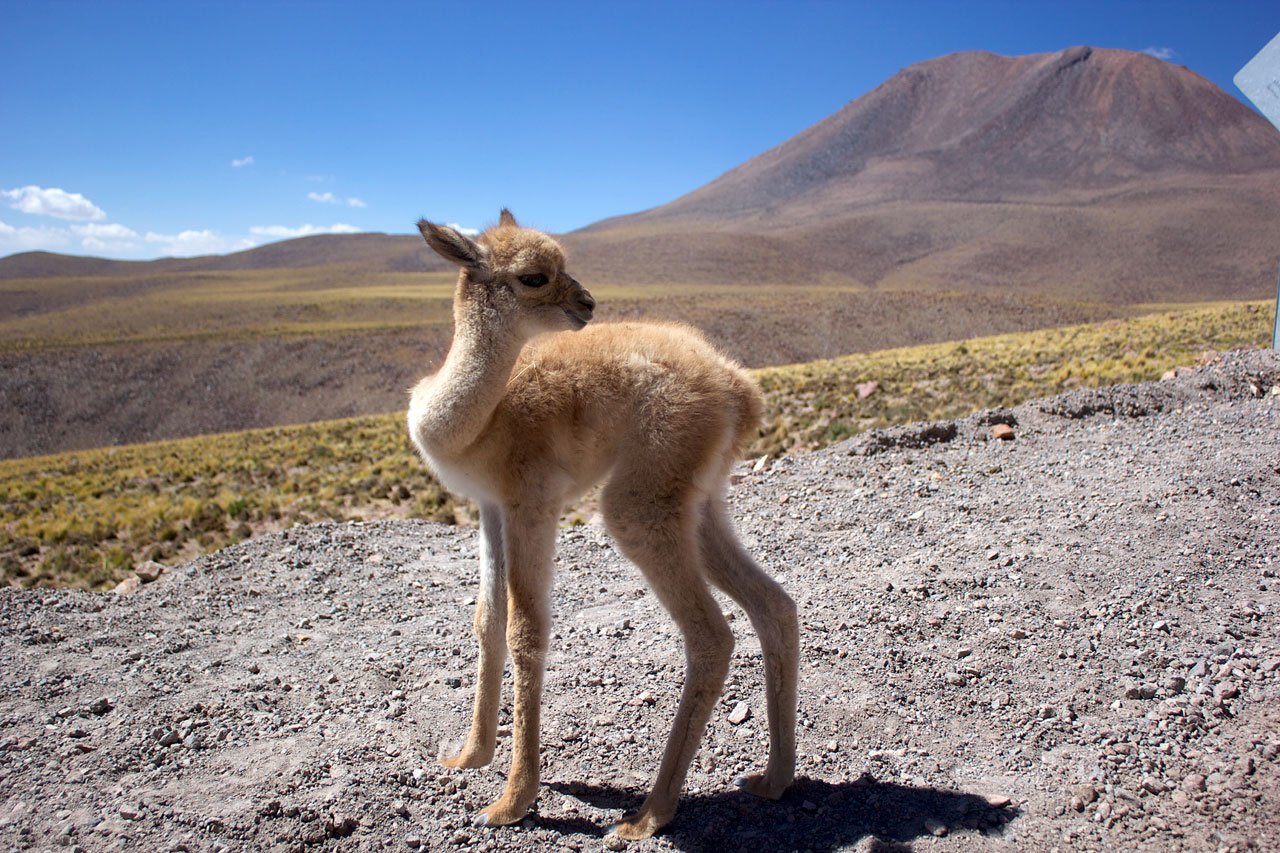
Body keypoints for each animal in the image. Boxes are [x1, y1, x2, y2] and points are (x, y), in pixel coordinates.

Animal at [407, 210, 798, 839]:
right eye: (535, 276)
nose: (588, 303)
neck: (475, 424)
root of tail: (739, 386)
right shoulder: (489, 506)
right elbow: (487, 620)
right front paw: (469, 756)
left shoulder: (533, 501)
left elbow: (525, 632)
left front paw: (513, 801)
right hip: (697, 497)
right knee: (774, 605)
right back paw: (775, 779)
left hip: (641, 499)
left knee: (712, 634)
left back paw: (651, 813)